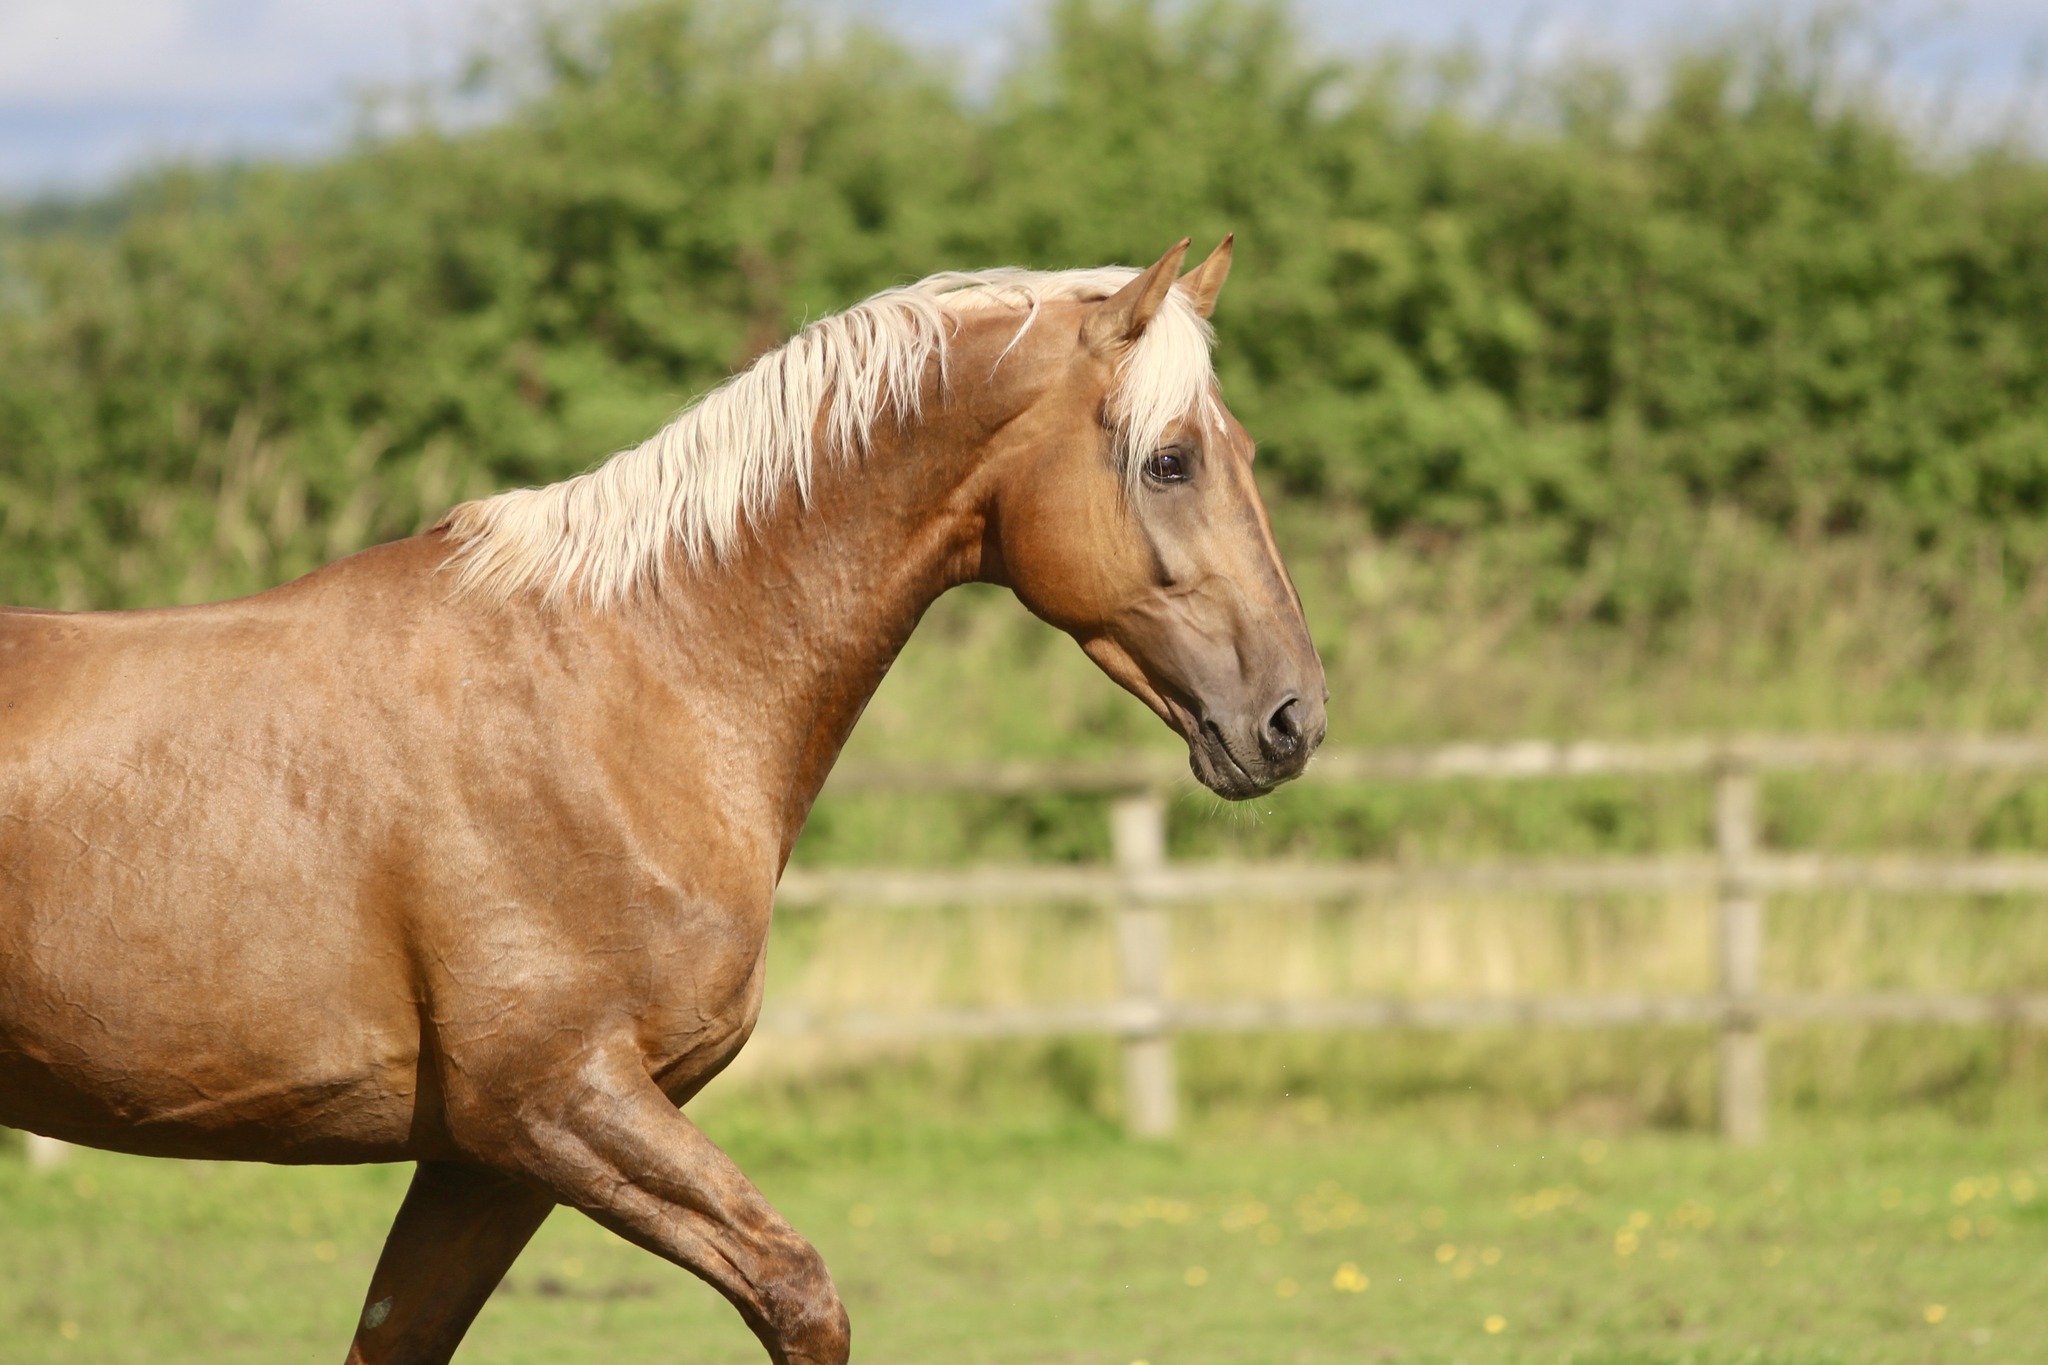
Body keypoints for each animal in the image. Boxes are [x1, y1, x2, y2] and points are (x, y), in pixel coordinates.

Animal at [0, 237, 1325, 1364]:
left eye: (1246, 453)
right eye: (1168, 461)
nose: (1291, 720)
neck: (627, 685)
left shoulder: (485, 1165)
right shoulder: (555, 1105)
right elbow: (799, 1295)